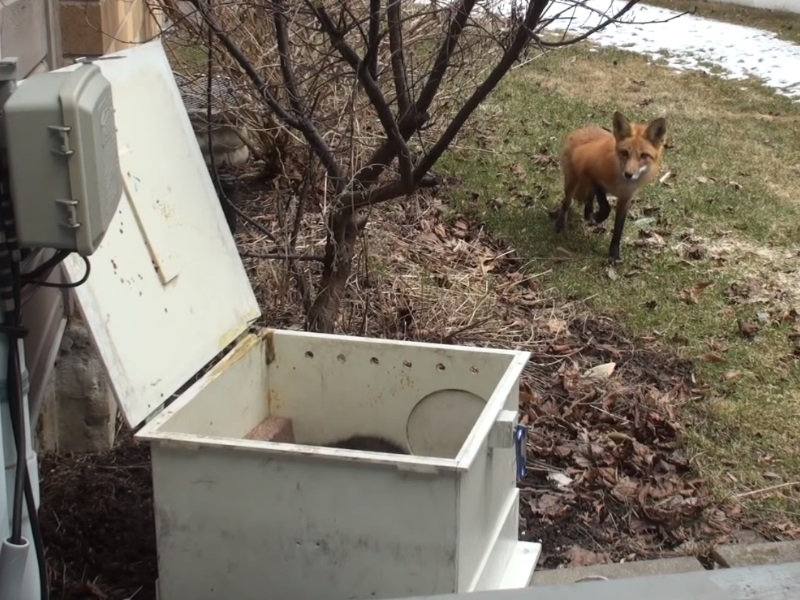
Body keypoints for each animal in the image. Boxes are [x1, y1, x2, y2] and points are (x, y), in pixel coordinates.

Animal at [552, 111, 667, 262]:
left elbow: (618, 228)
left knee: (588, 201)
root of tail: (584, 128)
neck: (621, 183)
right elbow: (606, 208)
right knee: (566, 202)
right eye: (624, 153)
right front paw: (597, 218)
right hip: (572, 182)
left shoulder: (625, 199)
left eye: (644, 155)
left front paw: (614, 253)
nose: (628, 174)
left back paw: (588, 216)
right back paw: (561, 224)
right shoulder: (594, 177)